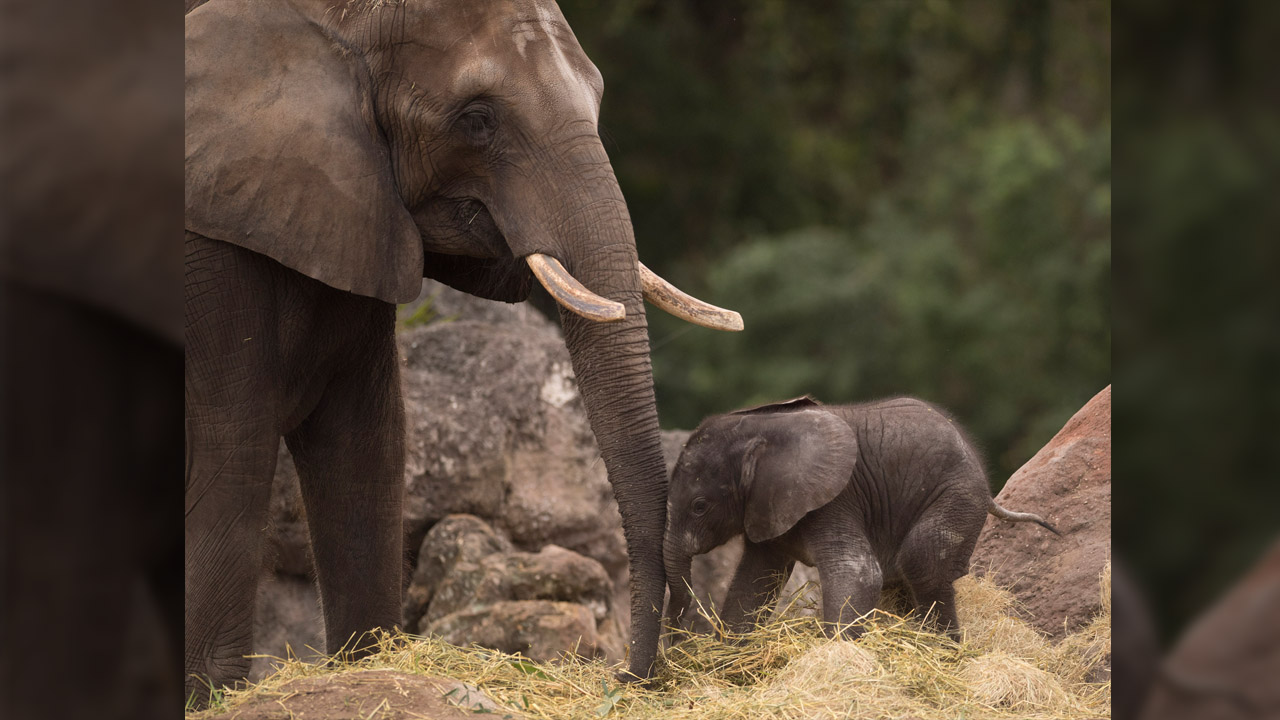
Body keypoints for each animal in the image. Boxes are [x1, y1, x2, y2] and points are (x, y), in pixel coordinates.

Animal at [184, 0, 742, 700]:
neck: (321, 21)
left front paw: (368, 668)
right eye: (477, 119)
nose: (626, 677)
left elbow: (363, 438)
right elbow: (231, 436)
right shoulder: (208, 251)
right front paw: (214, 696)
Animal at [663, 396, 1057, 641]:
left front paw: (838, 658)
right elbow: (752, 583)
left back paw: (943, 650)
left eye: (699, 506)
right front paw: (729, 661)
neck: (760, 429)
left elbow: (859, 573)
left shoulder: (834, 501)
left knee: (921, 560)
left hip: (958, 494)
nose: (674, 638)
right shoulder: (768, 508)